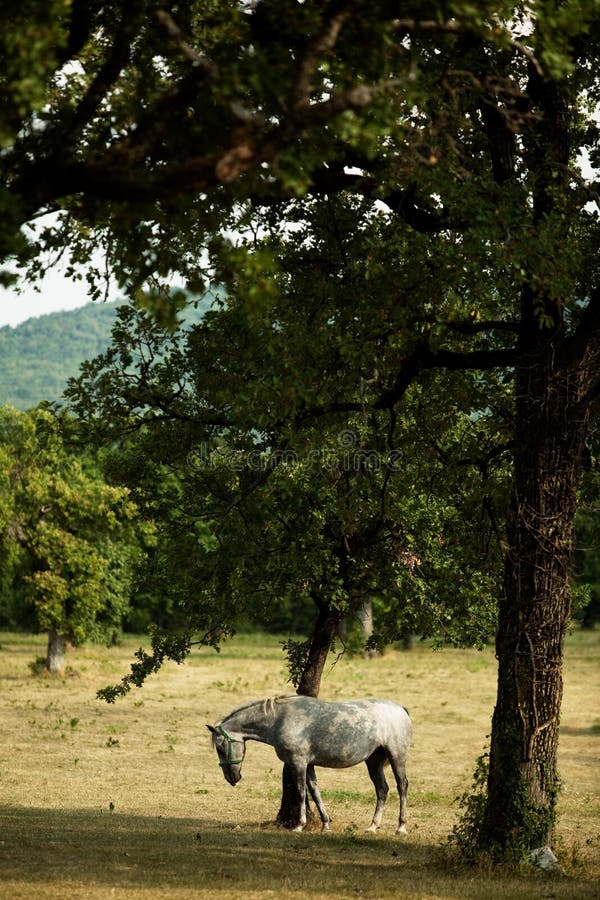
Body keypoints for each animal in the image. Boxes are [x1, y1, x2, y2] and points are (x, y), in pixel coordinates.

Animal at [207, 695, 412, 833]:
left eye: (220, 747)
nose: (231, 778)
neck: (279, 719)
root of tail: (400, 709)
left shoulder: (298, 763)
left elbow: (301, 793)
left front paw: (299, 825)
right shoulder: (309, 765)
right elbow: (315, 792)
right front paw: (325, 825)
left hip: (397, 757)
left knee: (402, 786)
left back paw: (401, 827)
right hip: (373, 761)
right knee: (382, 790)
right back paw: (372, 826)